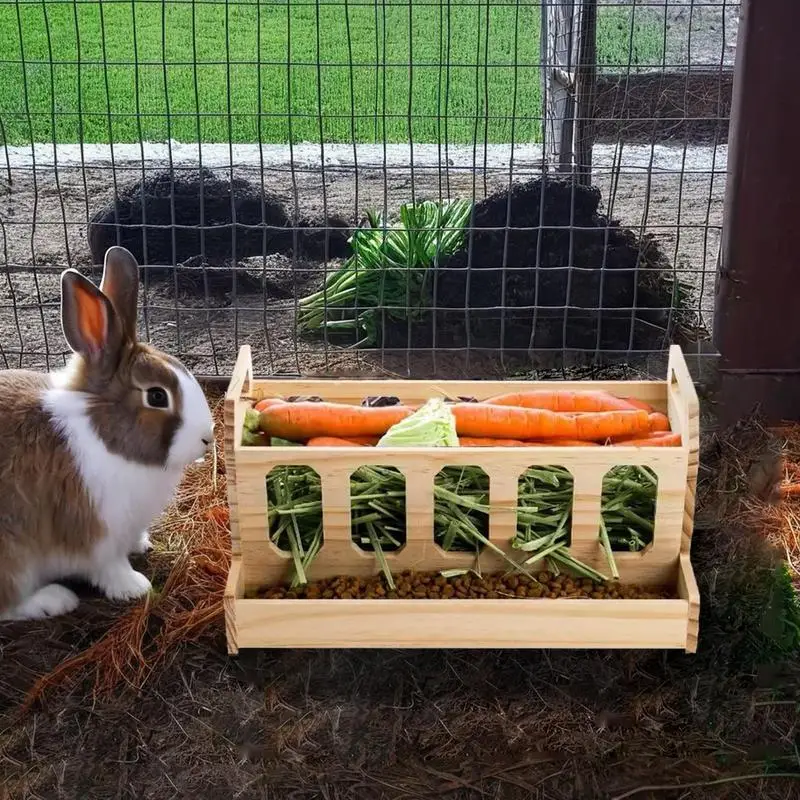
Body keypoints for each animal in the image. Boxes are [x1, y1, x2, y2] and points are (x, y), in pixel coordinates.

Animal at [0, 246, 215, 621]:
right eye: (156, 396)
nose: (208, 437)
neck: (102, 436)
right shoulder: (96, 534)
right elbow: (109, 567)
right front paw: (135, 587)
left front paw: (142, 544)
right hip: (12, 557)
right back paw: (54, 599)